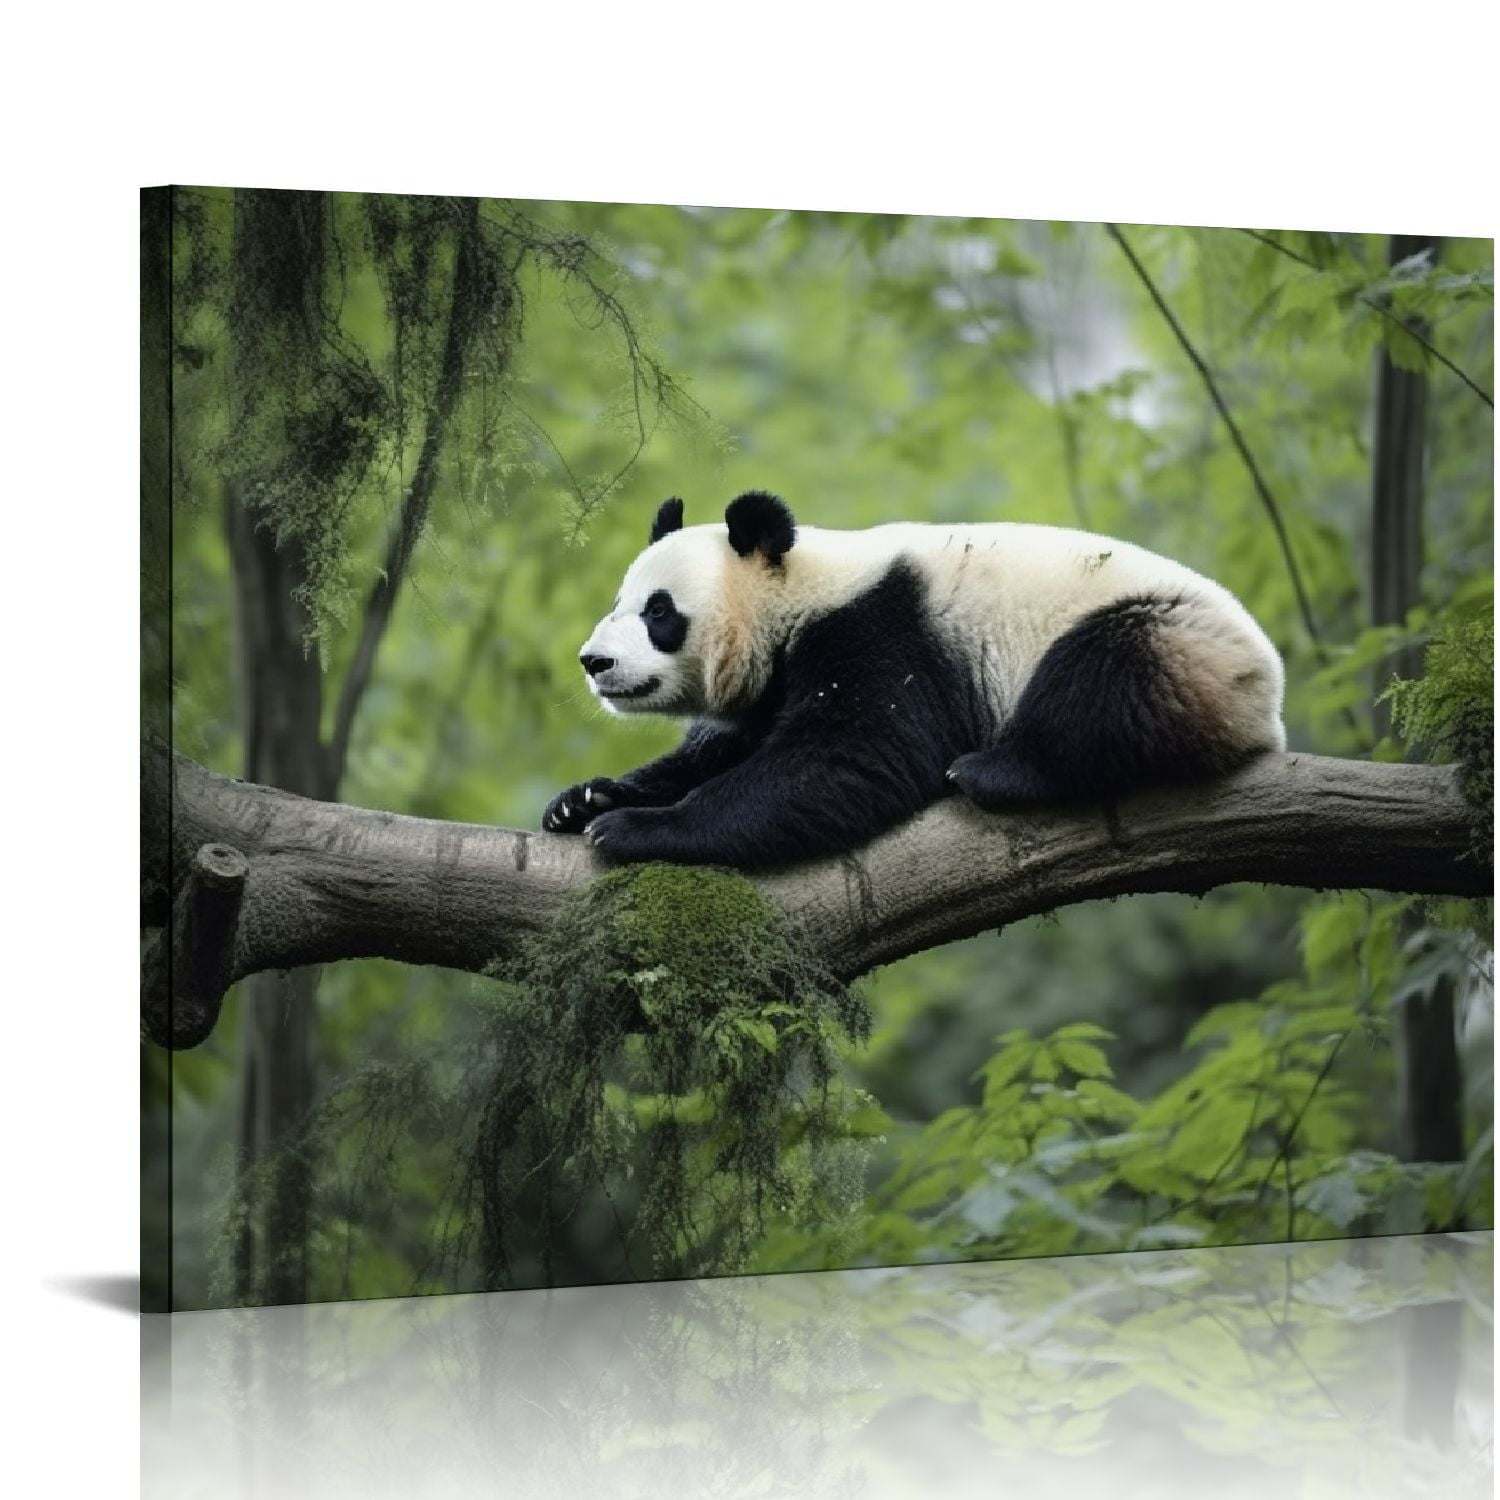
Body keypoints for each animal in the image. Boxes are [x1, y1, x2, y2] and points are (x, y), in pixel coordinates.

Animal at [542, 491, 1286, 869]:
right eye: (618, 603)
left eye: (658, 612)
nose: (594, 662)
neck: (798, 590)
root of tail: (1265, 706)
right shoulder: (774, 682)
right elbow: (721, 752)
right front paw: (582, 803)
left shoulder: (882, 631)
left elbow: (851, 757)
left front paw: (635, 828)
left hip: (1173, 640)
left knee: (1100, 685)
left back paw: (995, 771)